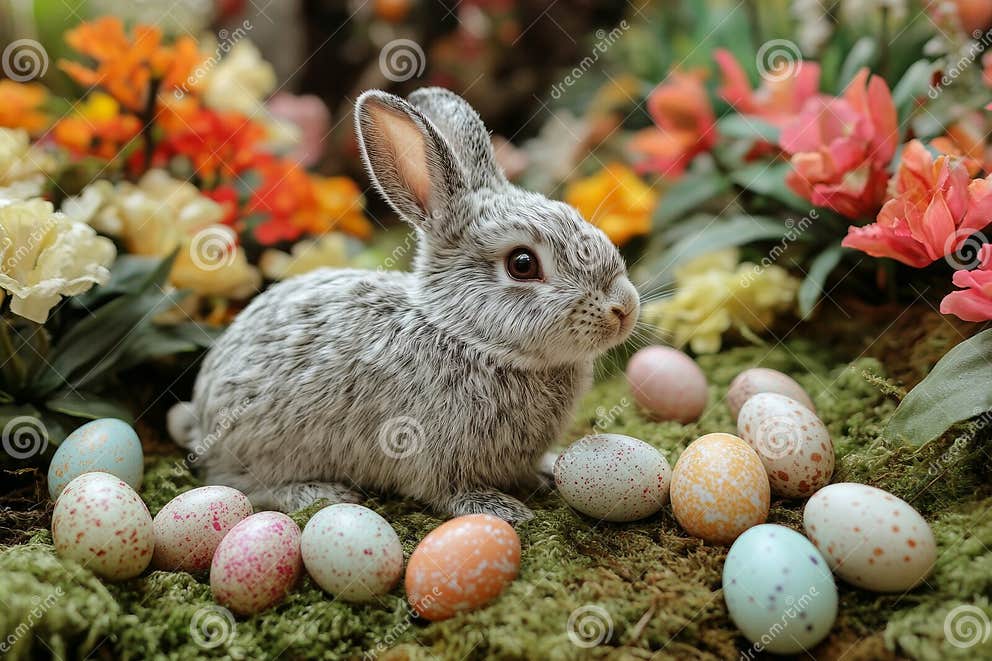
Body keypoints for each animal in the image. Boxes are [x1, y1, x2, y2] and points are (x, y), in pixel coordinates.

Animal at [167, 87, 639, 523]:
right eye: (522, 264)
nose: (624, 308)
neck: (464, 336)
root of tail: (201, 418)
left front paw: (546, 471)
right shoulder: (426, 451)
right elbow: (446, 490)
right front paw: (502, 509)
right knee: (242, 484)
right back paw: (320, 492)